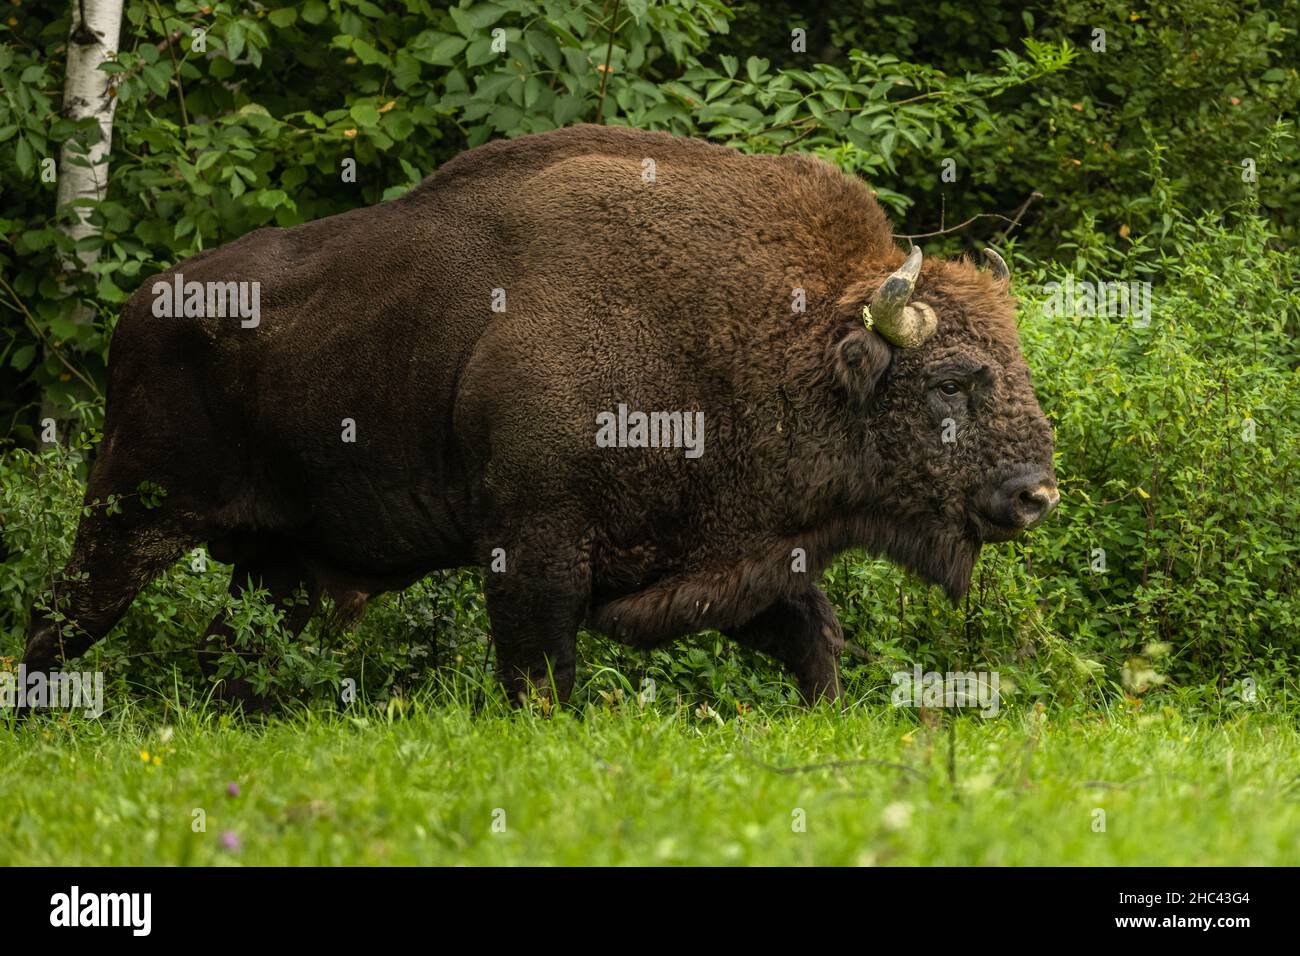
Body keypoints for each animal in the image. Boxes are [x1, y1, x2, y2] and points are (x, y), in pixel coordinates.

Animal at [22, 124, 1058, 707]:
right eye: (952, 380)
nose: (1036, 496)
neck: (771, 333)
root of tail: (139, 305)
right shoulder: (534, 544)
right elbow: (541, 671)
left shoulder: (737, 552)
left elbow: (811, 633)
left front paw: (829, 715)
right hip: (131, 510)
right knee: (60, 617)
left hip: (283, 569)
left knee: (235, 651)